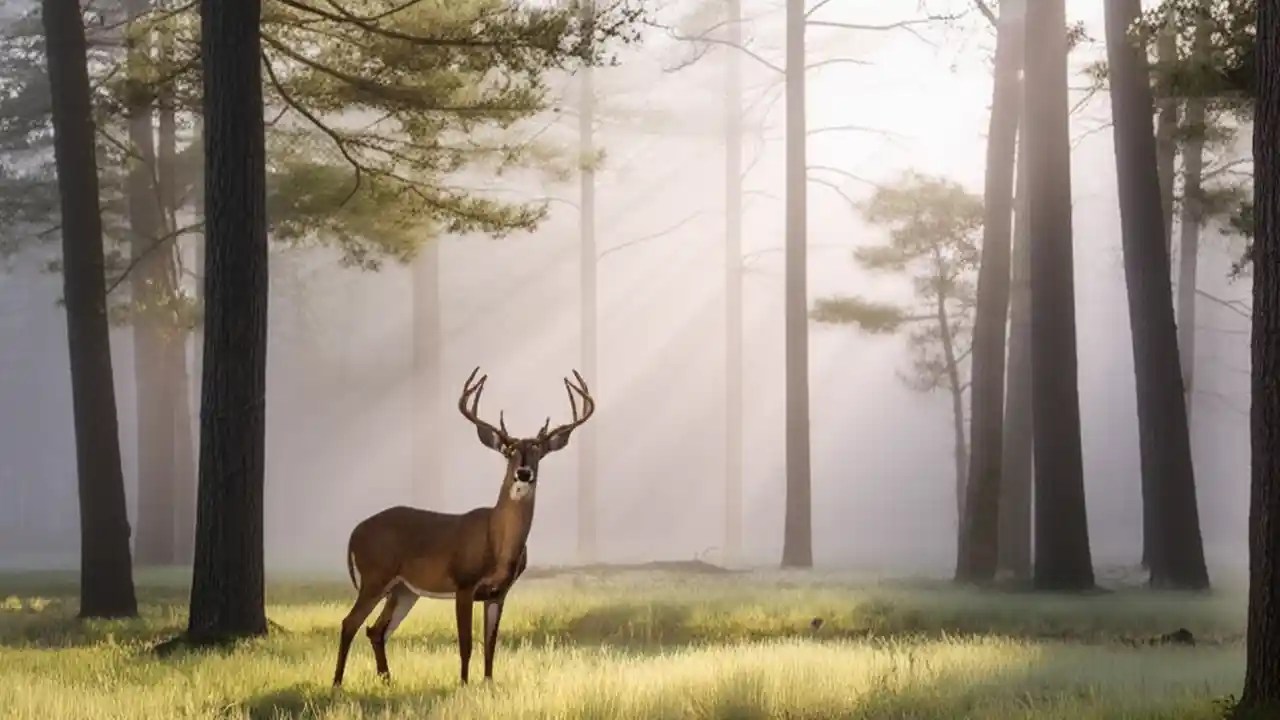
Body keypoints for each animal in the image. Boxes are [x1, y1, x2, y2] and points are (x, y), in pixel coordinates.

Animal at [331, 367, 594, 687]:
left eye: (539, 452)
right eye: (508, 450)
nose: (523, 472)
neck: (498, 543)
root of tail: (353, 534)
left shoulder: (498, 592)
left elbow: (490, 644)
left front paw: (488, 683)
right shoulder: (464, 583)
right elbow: (466, 642)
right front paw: (464, 683)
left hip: (404, 590)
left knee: (376, 629)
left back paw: (386, 680)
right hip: (375, 575)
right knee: (350, 623)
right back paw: (337, 683)